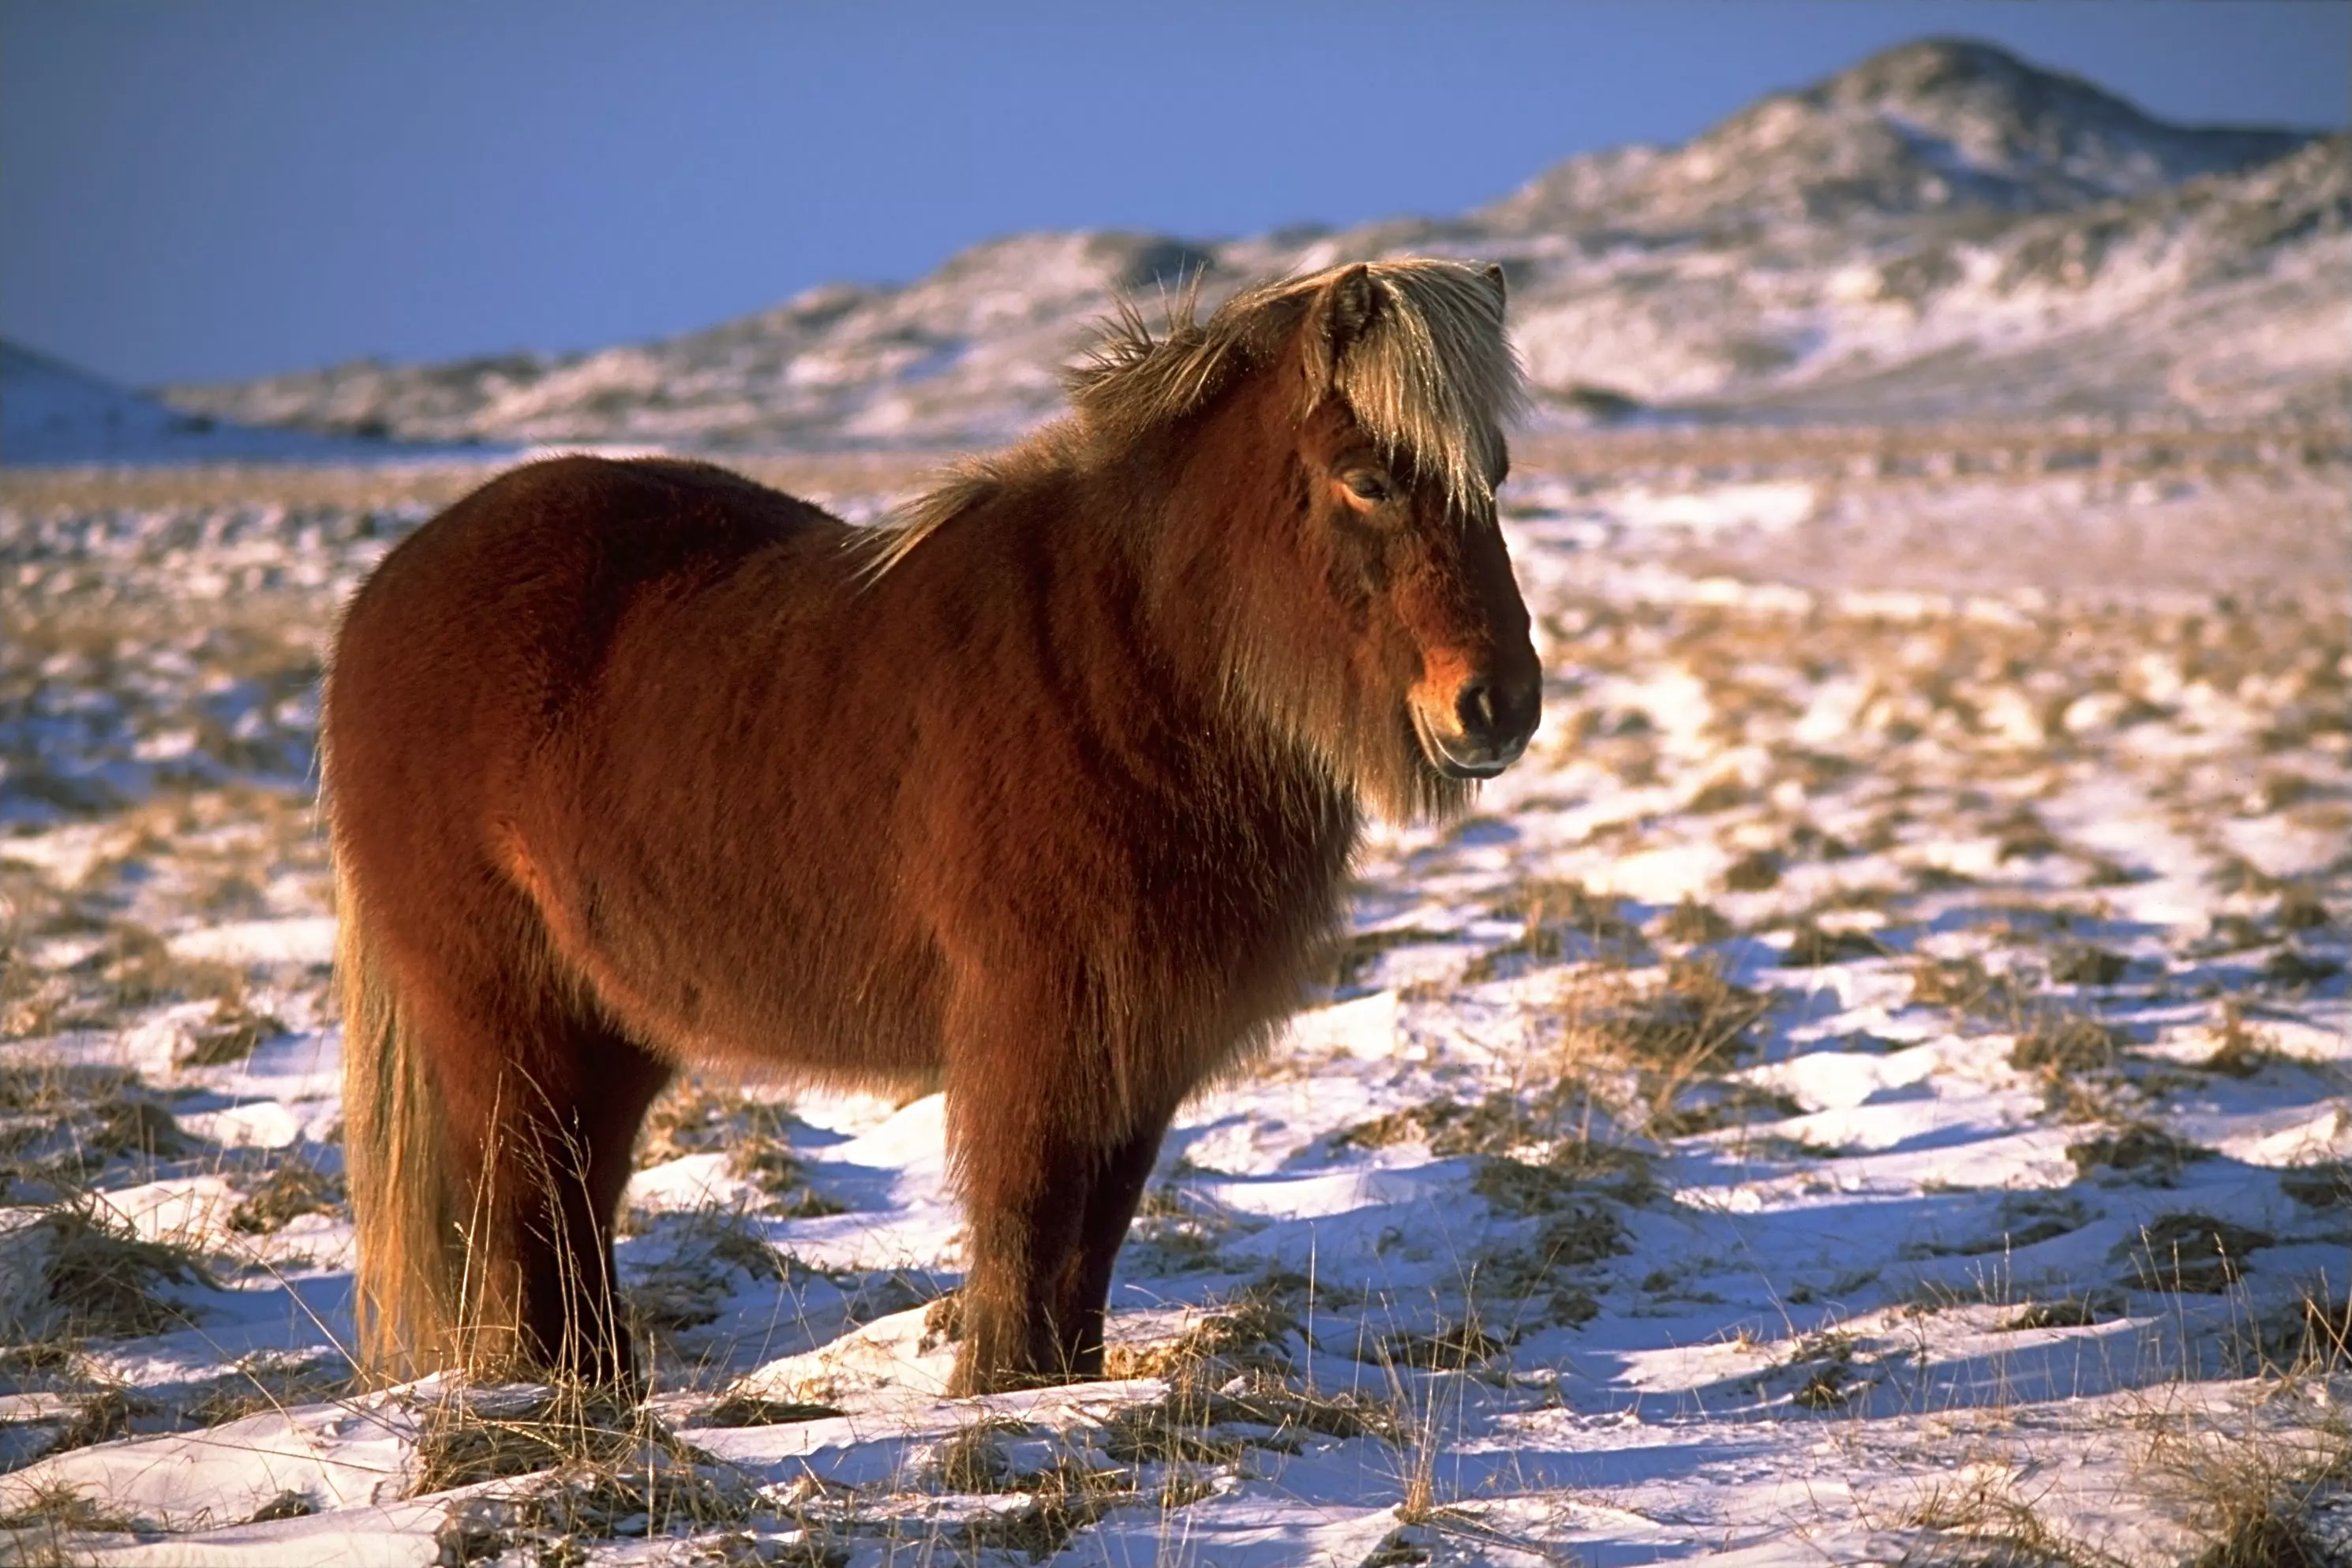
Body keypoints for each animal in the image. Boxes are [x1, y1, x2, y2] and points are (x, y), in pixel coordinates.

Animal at [327, 260, 1542, 1401]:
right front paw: (998, 1394)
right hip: (503, 1010)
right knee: (527, 1198)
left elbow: (1091, 1239)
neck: (1129, 660)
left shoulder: (1139, 1043)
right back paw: (556, 1396)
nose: (1499, 706)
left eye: (1494, 475)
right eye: (1369, 478)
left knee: (576, 1193)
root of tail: (387, 587)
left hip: (609, 1019)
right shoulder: (1037, 1030)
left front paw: (1062, 1385)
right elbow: (1027, 1217)